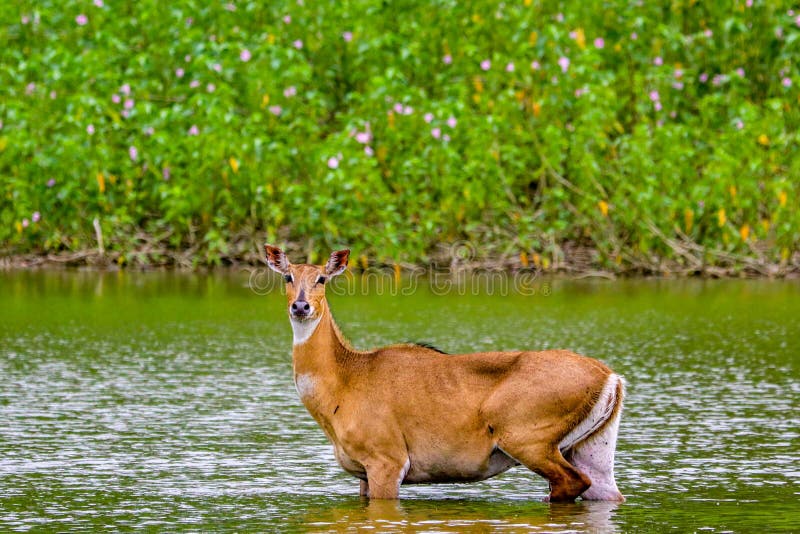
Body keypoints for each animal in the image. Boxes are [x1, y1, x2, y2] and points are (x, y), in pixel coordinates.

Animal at [264, 245, 625, 502]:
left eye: (322, 278)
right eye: (288, 277)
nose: (301, 306)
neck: (341, 388)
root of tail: (612, 378)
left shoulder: (387, 458)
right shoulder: (364, 474)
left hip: (528, 435)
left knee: (569, 483)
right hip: (593, 446)